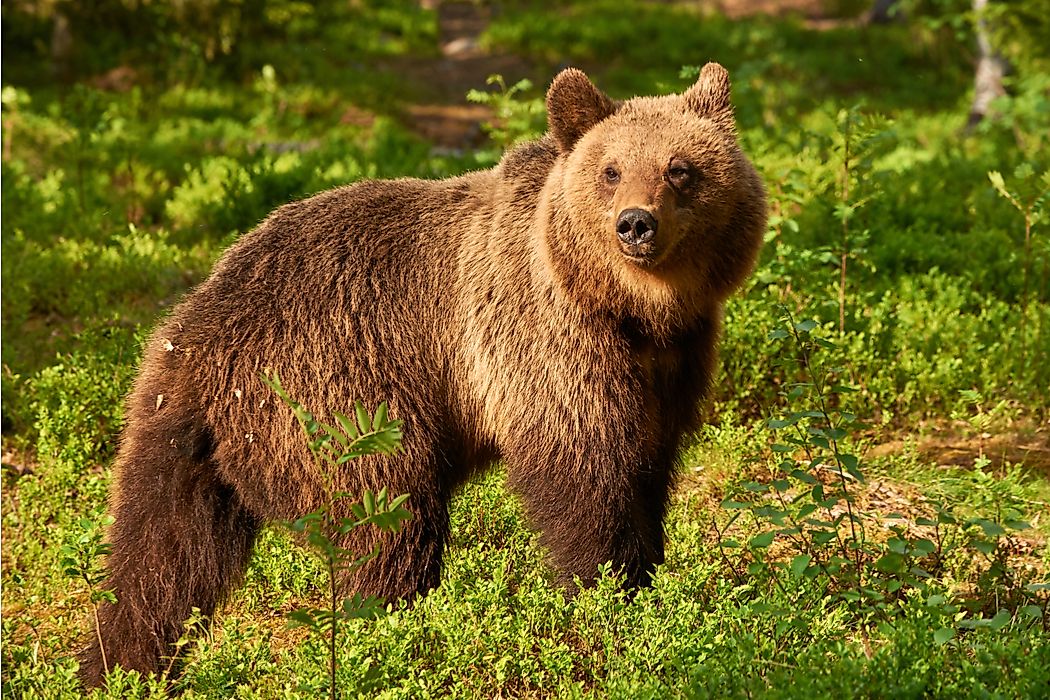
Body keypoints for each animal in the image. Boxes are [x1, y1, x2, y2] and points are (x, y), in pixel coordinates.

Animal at [79, 62, 767, 686]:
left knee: (157, 555)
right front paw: (606, 592)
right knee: (389, 522)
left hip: (174, 428)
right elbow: (585, 475)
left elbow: (649, 467)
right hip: (338, 390)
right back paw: (391, 631)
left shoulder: (672, 364)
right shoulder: (546, 343)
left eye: (680, 168)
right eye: (611, 170)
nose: (636, 223)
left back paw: (116, 668)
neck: (632, 309)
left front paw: (646, 581)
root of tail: (200, 330)